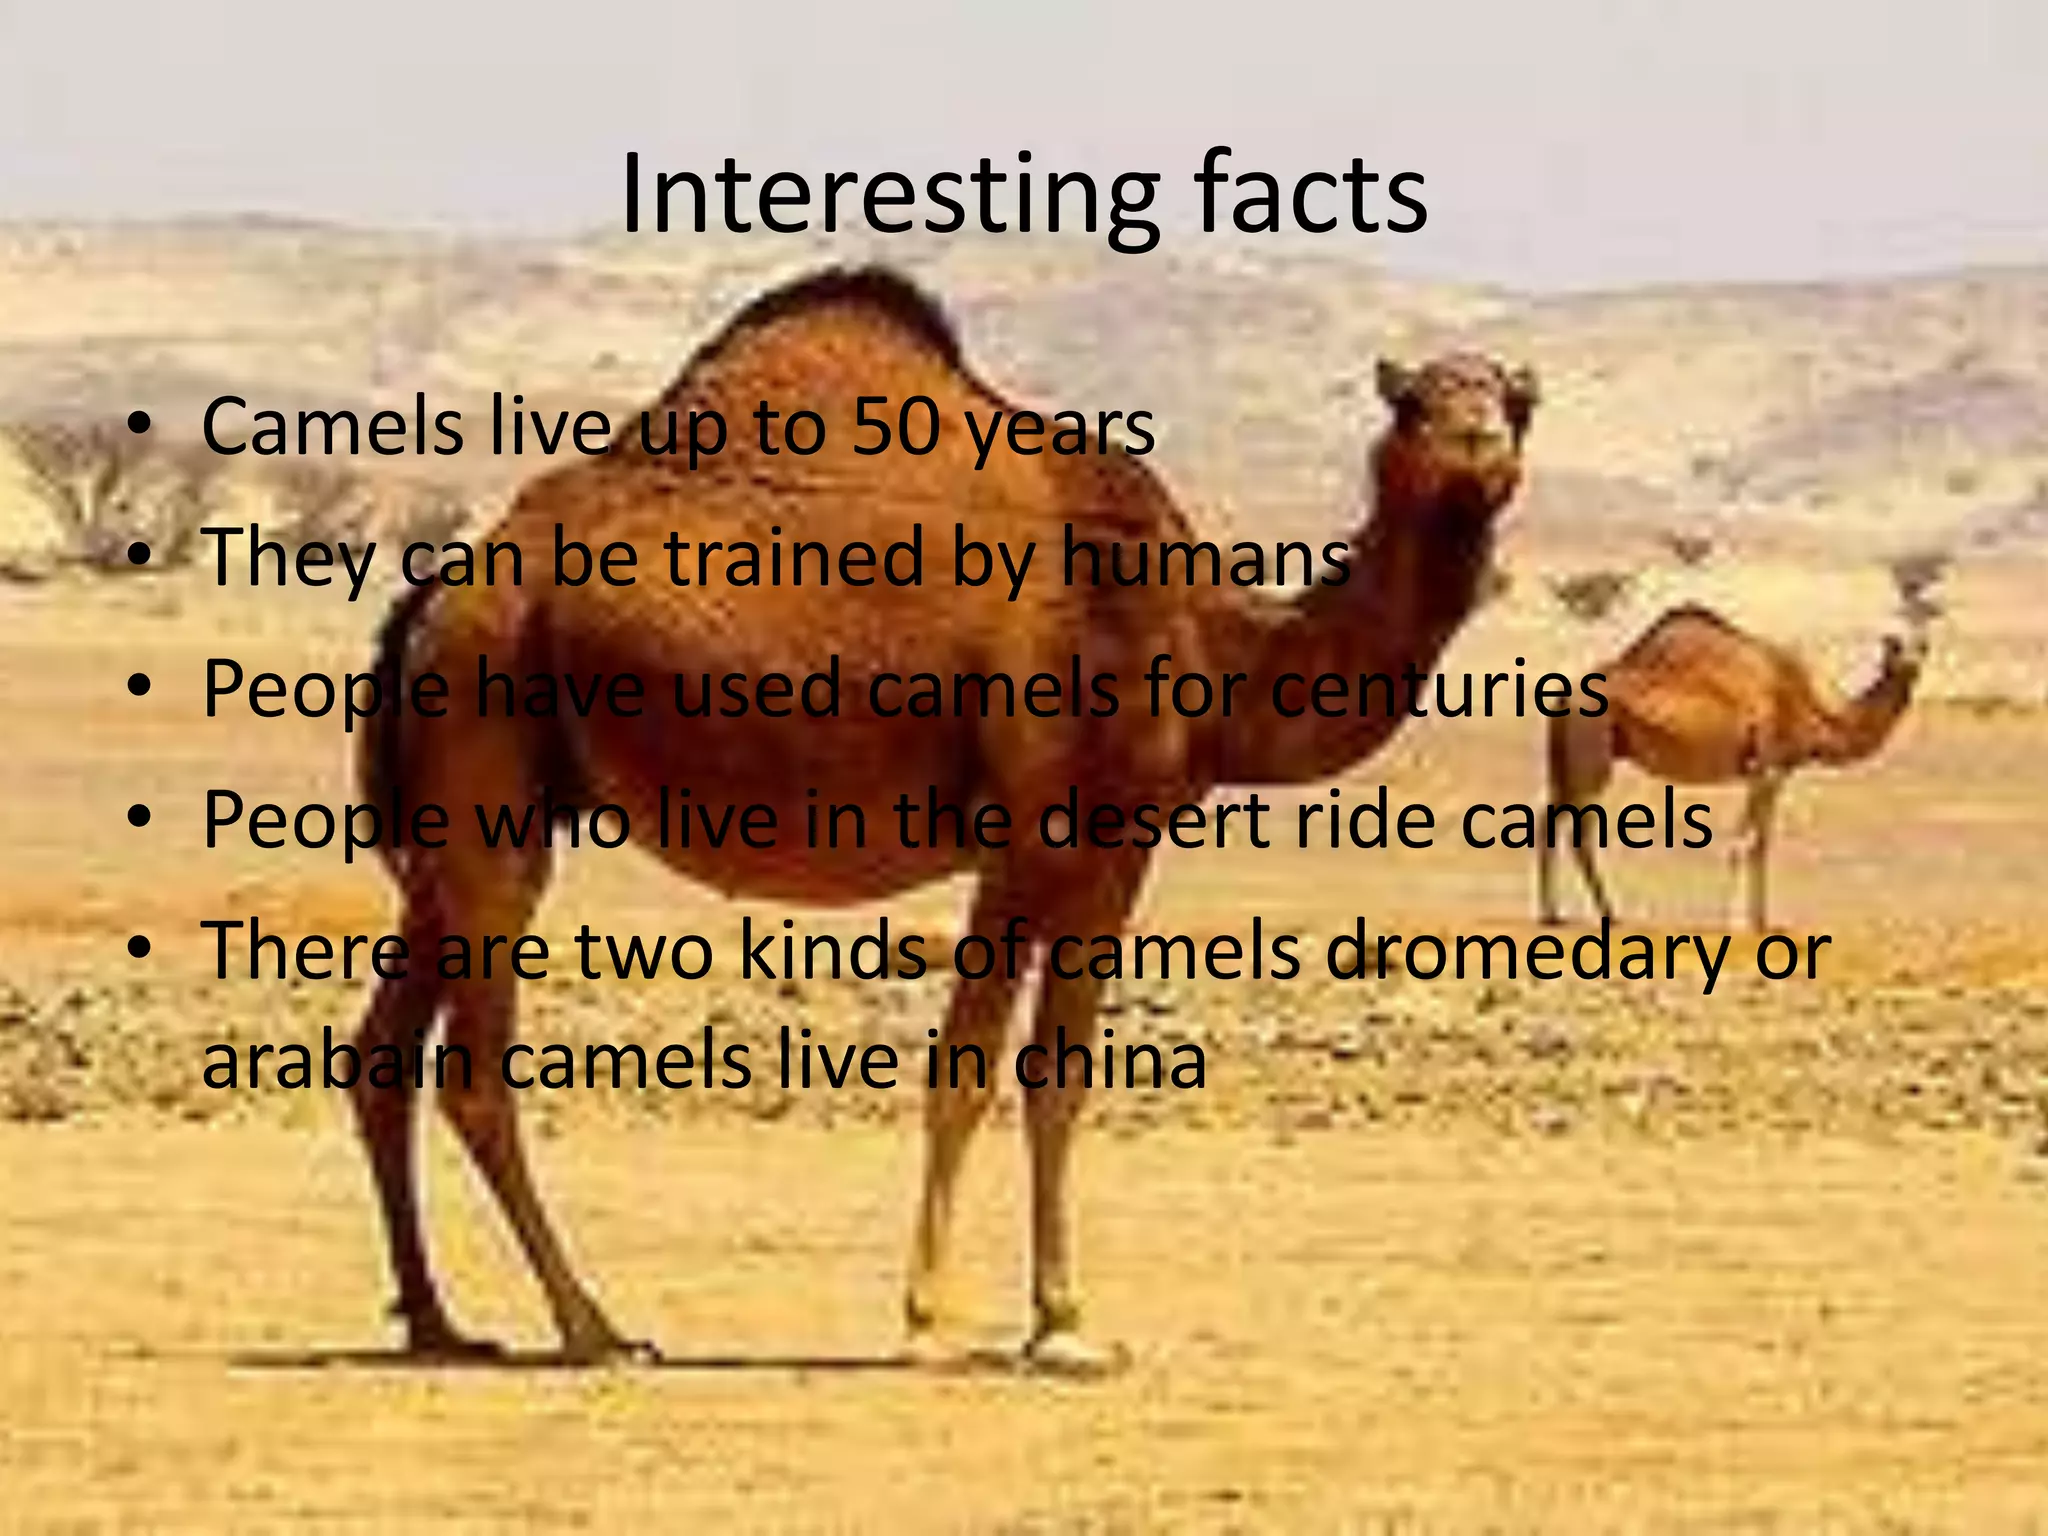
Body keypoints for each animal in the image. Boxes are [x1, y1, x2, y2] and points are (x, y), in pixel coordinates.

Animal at [352, 266, 1538, 1367]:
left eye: (1517, 402)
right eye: (1412, 405)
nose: (1478, 439)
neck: (1209, 641)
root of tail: (436, 595)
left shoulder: (1121, 845)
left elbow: (1062, 1075)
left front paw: (1064, 1323)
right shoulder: (1028, 832)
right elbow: (965, 1065)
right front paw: (931, 1321)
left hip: (458, 810)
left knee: (385, 1054)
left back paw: (438, 1321)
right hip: (488, 724)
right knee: (473, 1072)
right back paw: (589, 1324)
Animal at [1538, 593, 1931, 931]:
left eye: (1922, 648)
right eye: (1895, 651)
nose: (1912, 663)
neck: (1810, 710)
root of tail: (1566, 695)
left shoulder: (1777, 775)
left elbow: (1762, 845)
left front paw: (1762, 921)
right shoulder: (1764, 768)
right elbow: (1743, 841)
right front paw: (1731, 921)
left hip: (1570, 760)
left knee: (1549, 818)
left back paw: (1553, 914)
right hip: (1592, 754)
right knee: (1579, 832)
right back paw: (1609, 914)